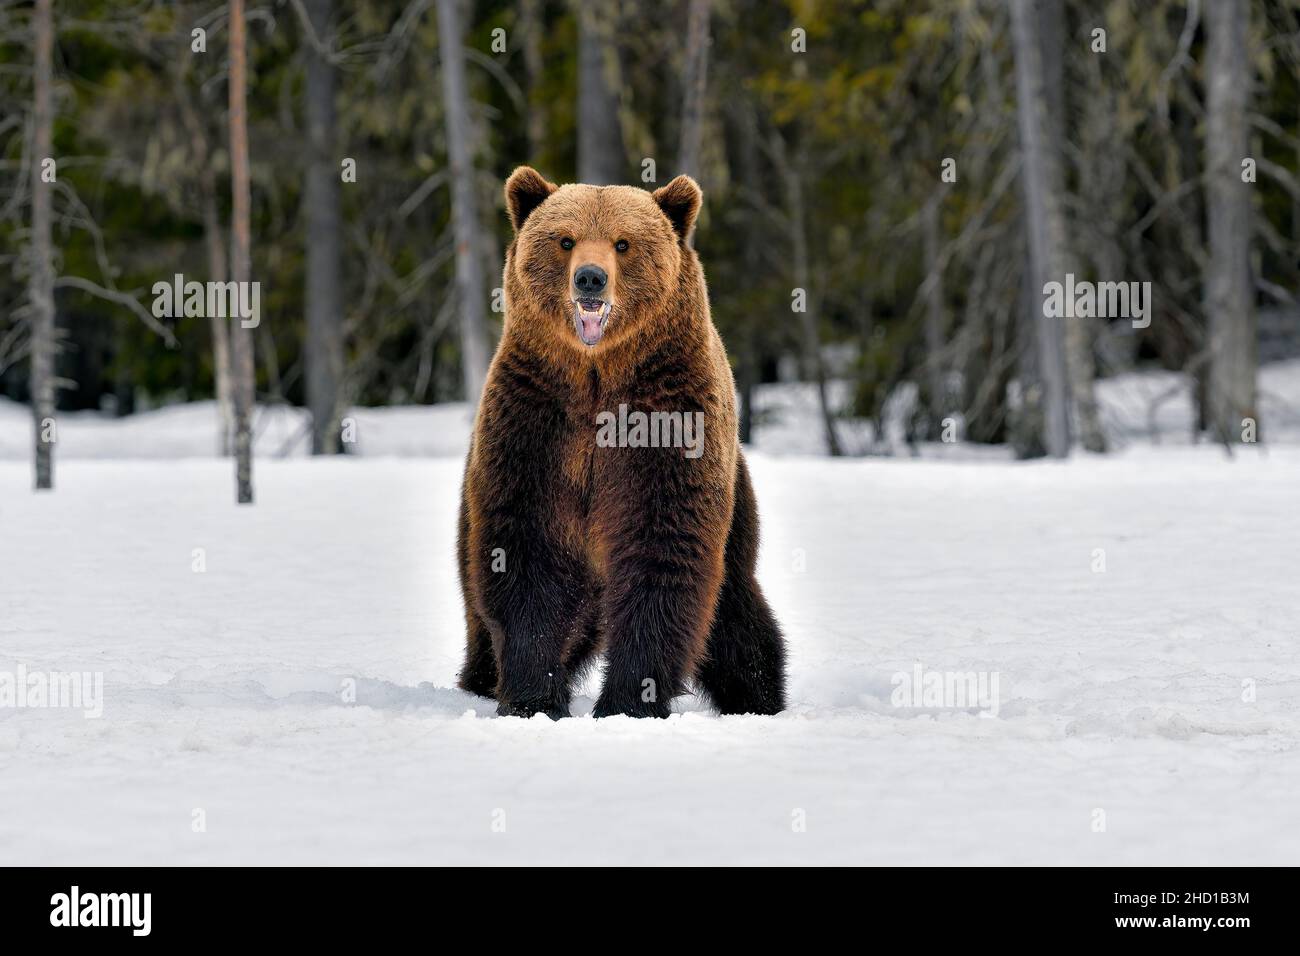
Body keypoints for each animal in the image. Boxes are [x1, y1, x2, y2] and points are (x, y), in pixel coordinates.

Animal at [456, 166, 786, 718]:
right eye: (565, 240)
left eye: (624, 243)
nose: (590, 277)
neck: (597, 376)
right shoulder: (535, 425)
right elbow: (526, 552)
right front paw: (533, 698)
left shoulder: (667, 424)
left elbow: (663, 549)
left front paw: (630, 701)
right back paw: (480, 679)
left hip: (737, 513)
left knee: (736, 616)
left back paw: (758, 695)